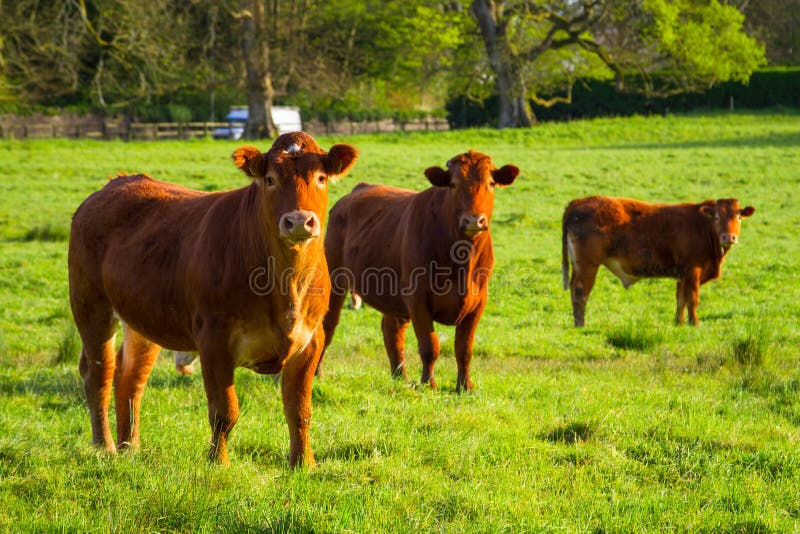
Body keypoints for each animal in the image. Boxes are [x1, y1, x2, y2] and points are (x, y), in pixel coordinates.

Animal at [68, 132, 358, 467]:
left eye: (320, 177)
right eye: (270, 179)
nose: (299, 221)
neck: (285, 286)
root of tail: (115, 184)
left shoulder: (311, 339)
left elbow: (299, 410)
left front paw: (304, 463)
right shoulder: (213, 339)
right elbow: (224, 410)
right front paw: (218, 462)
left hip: (141, 319)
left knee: (129, 378)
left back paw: (131, 447)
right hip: (90, 305)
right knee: (99, 373)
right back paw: (105, 445)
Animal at [320, 150, 519, 391]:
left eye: (490, 183)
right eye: (453, 184)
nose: (473, 220)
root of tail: (356, 191)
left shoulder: (478, 302)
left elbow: (464, 349)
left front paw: (465, 386)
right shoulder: (418, 299)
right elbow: (429, 346)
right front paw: (429, 384)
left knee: (392, 331)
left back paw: (401, 378)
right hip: (334, 281)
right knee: (327, 326)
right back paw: (317, 373)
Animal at [562, 196, 755, 327]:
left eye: (738, 217)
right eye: (716, 218)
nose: (728, 236)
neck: (702, 227)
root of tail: (578, 201)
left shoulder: (683, 275)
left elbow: (681, 298)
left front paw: (679, 323)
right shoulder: (693, 271)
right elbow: (692, 298)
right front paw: (694, 323)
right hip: (587, 265)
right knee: (580, 291)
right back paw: (581, 324)